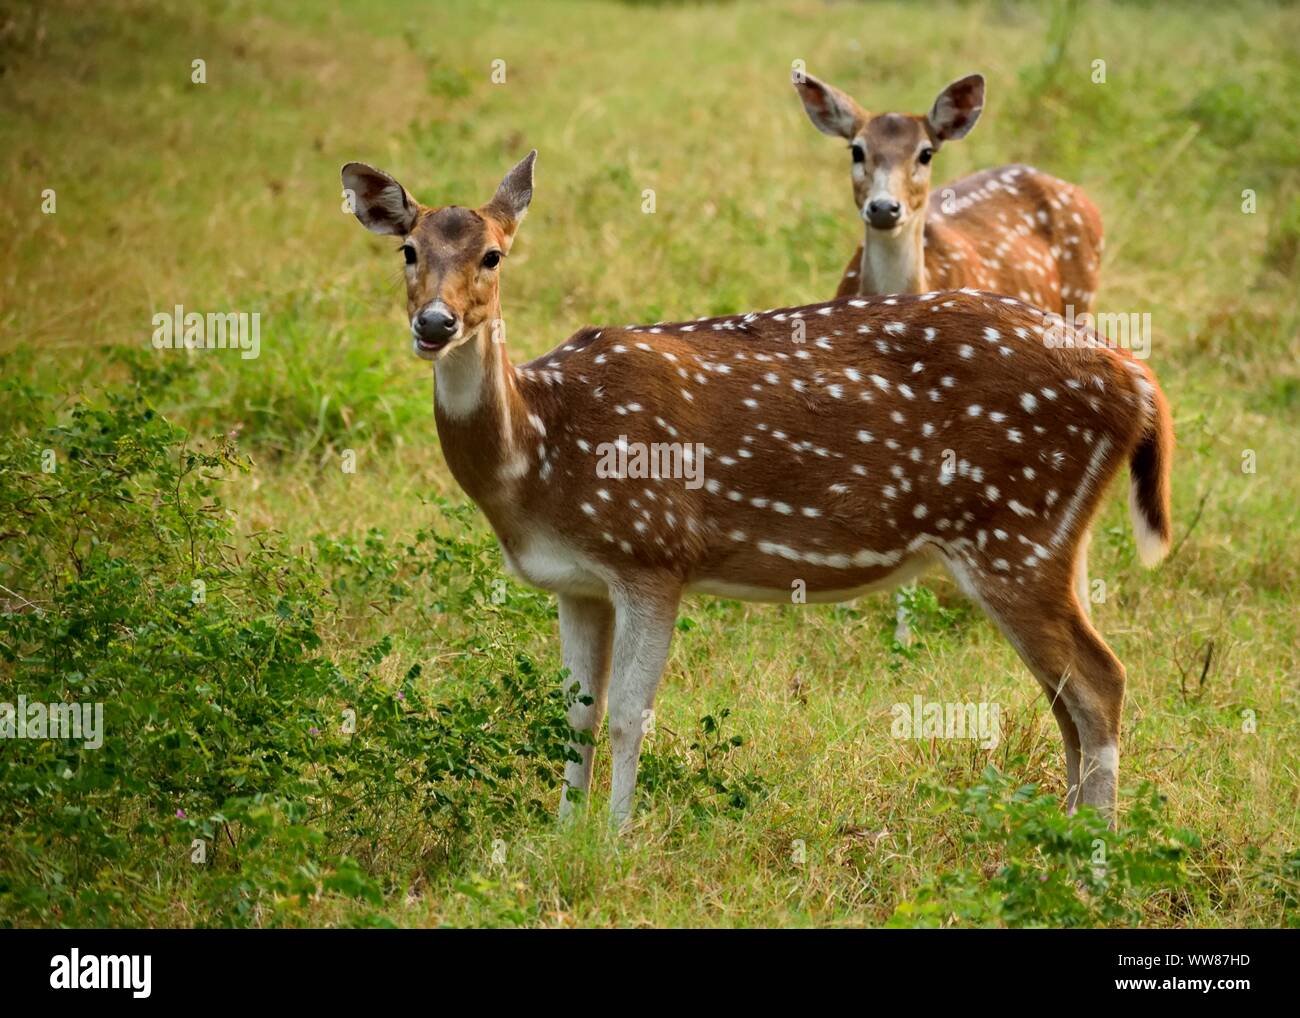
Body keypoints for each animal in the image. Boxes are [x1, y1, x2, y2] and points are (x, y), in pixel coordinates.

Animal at [341, 151, 1173, 829]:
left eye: (492, 254)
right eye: (408, 249)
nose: (435, 323)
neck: (539, 452)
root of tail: (1139, 383)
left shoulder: (653, 551)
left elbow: (631, 715)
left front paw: (613, 843)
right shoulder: (575, 582)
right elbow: (575, 716)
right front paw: (557, 838)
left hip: (1013, 531)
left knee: (1099, 681)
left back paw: (1091, 851)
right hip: (1053, 536)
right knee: (1070, 695)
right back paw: (1063, 831)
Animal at [794, 71, 1108, 640]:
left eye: (925, 153)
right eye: (857, 149)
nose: (884, 208)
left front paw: (903, 630)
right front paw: (853, 613)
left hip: (1082, 308)